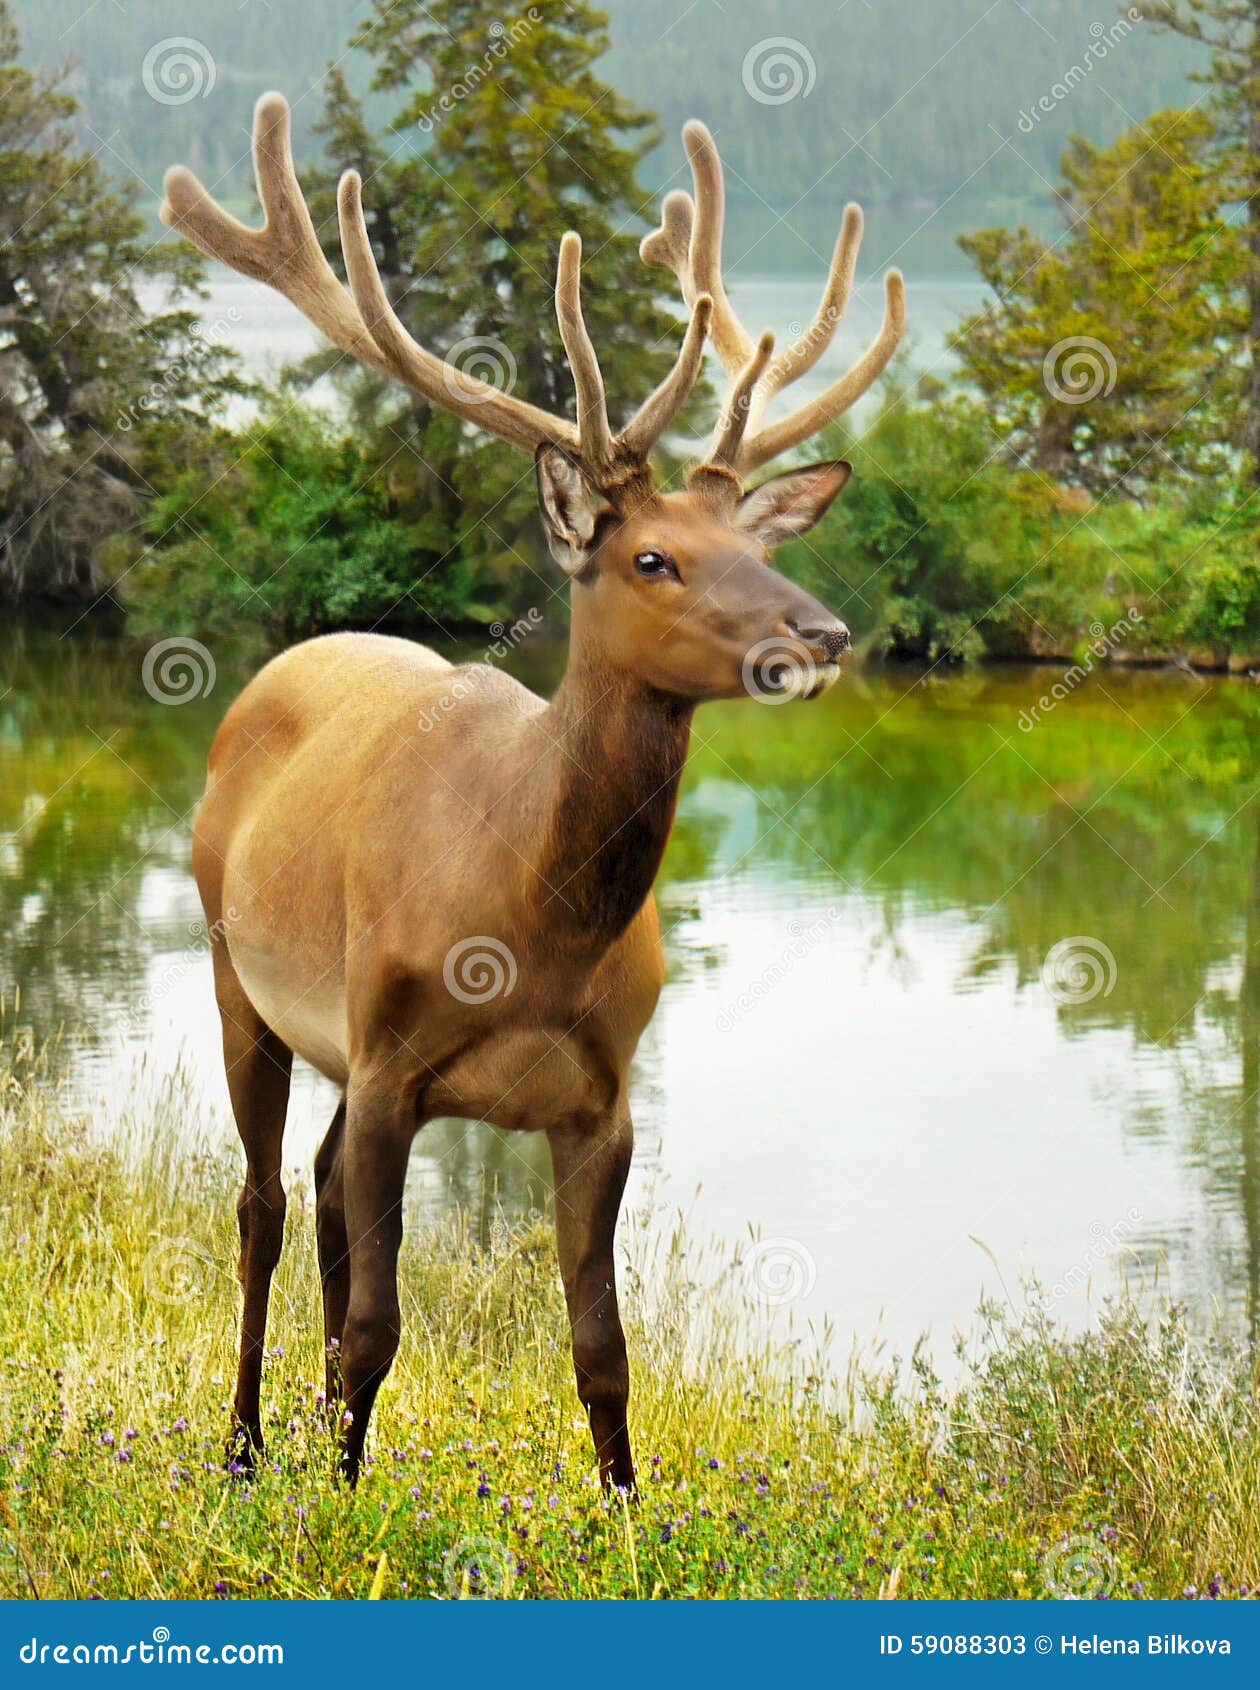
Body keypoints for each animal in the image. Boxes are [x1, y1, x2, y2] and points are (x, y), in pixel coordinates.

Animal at [163, 93, 905, 1492]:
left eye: (759, 542)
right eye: (653, 557)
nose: (825, 633)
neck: (530, 919)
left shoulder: (604, 1099)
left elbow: (600, 1350)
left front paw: (623, 1513)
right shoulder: (391, 1056)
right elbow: (380, 1325)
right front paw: (343, 1506)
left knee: (323, 1196)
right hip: (245, 975)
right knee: (264, 1206)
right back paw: (242, 1446)